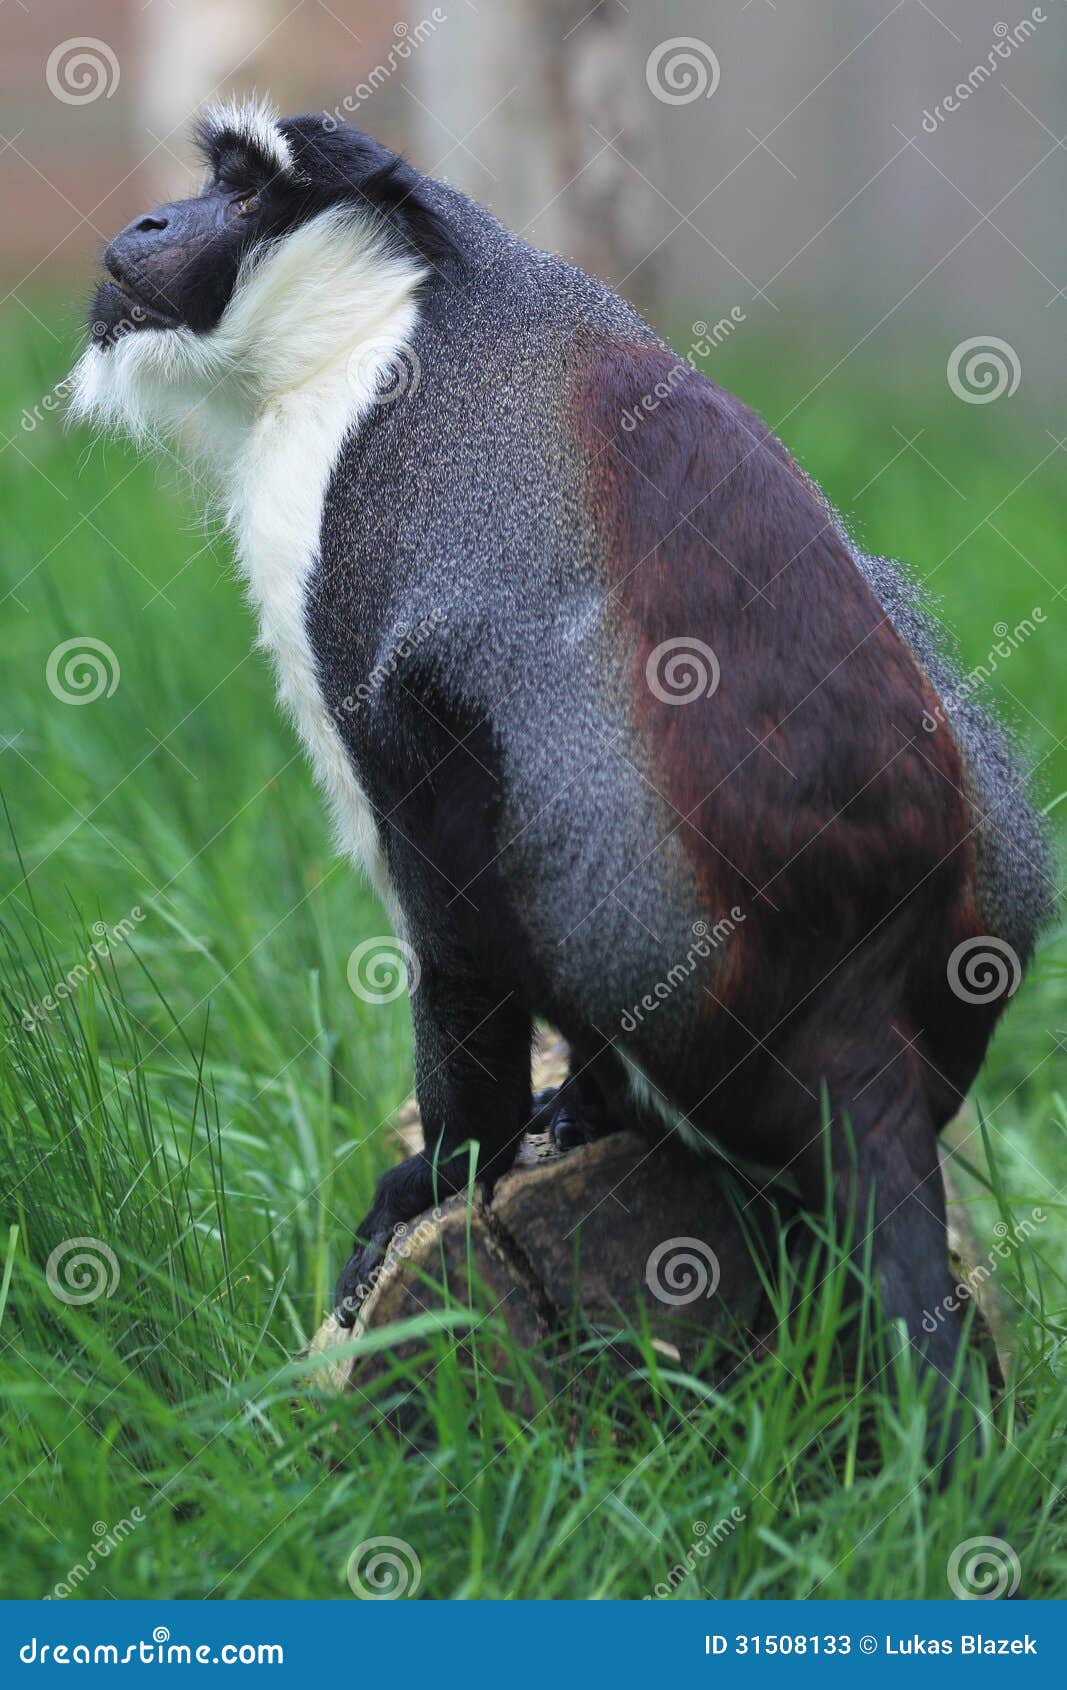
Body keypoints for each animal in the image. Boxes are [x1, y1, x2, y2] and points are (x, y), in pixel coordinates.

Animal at [71, 98, 1051, 1448]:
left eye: (248, 191)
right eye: (212, 178)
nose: (155, 221)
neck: (397, 310)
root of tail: (857, 998)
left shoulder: (357, 582)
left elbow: (448, 914)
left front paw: (443, 1171)